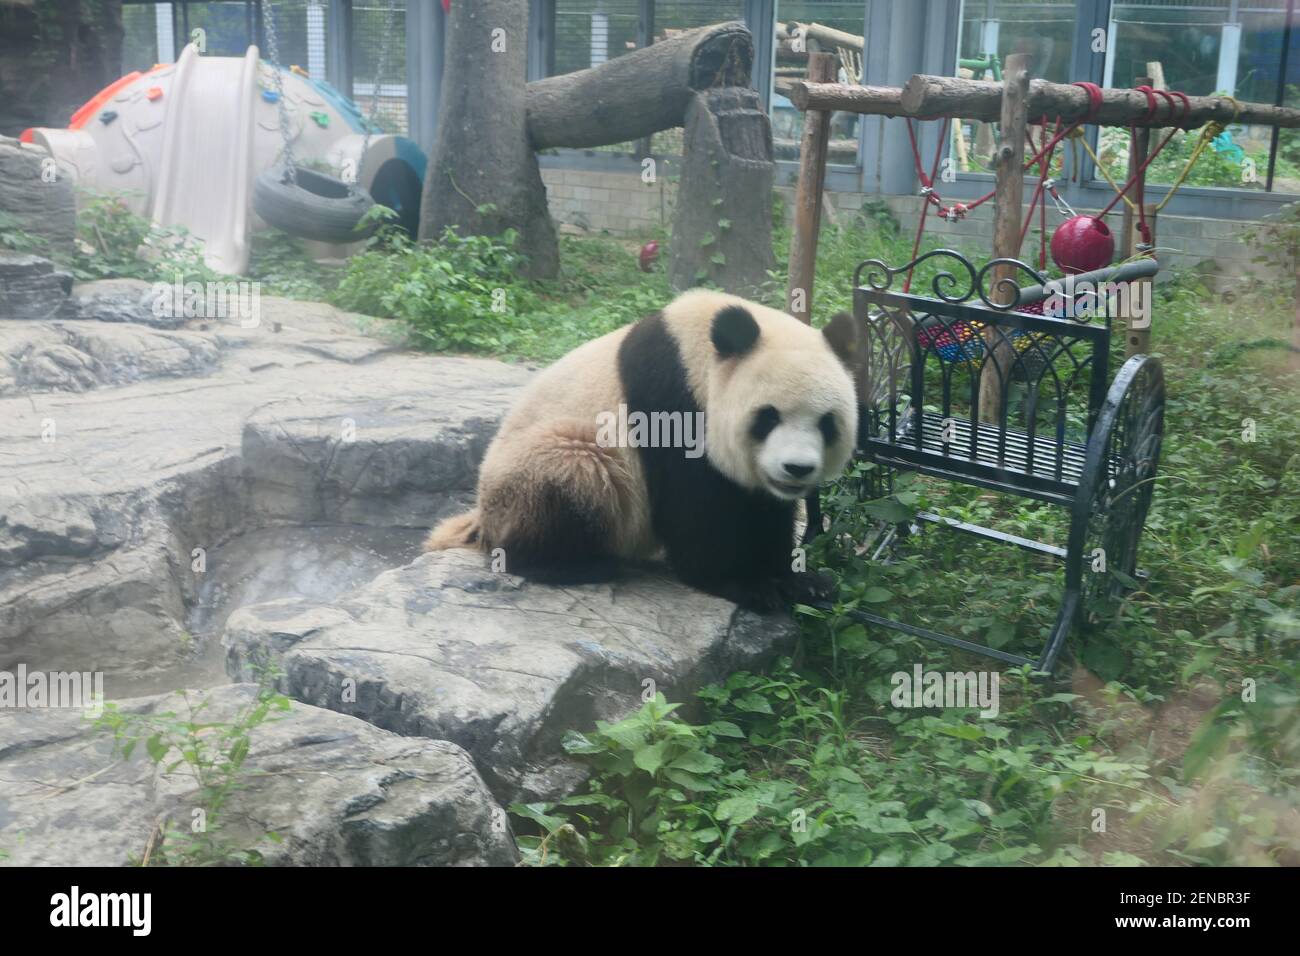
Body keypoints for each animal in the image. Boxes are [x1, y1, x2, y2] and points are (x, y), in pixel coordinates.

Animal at [426, 289, 864, 612]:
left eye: (827, 423)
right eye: (768, 417)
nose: (797, 469)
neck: (700, 352)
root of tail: (481, 519)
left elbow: (764, 508)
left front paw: (803, 581)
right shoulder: (673, 402)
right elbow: (696, 508)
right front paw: (745, 585)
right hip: (540, 464)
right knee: (574, 471)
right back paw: (576, 564)